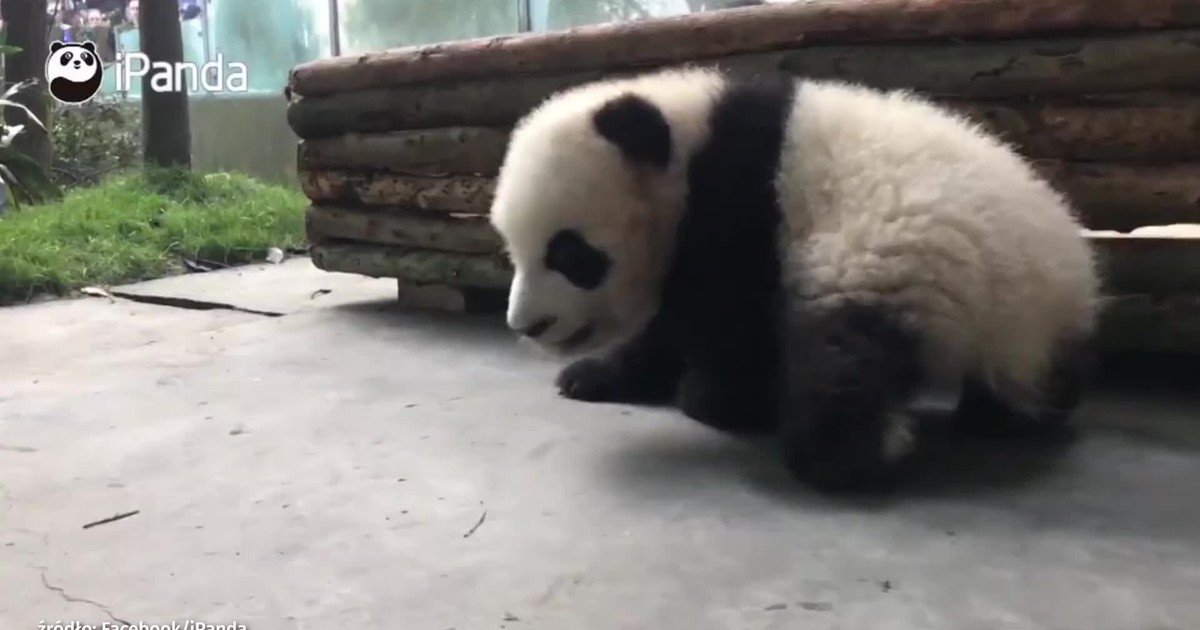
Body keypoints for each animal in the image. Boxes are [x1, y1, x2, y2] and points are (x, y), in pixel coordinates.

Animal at [487, 66, 1101, 493]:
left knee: (841, 355)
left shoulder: (739, 201)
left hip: (895, 265)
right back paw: (1006, 414)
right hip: (1021, 324)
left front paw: (714, 398)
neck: (687, 139)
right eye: (514, 249)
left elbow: (720, 315)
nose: (528, 324)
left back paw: (851, 452)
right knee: (1036, 378)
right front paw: (591, 376)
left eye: (570, 254)